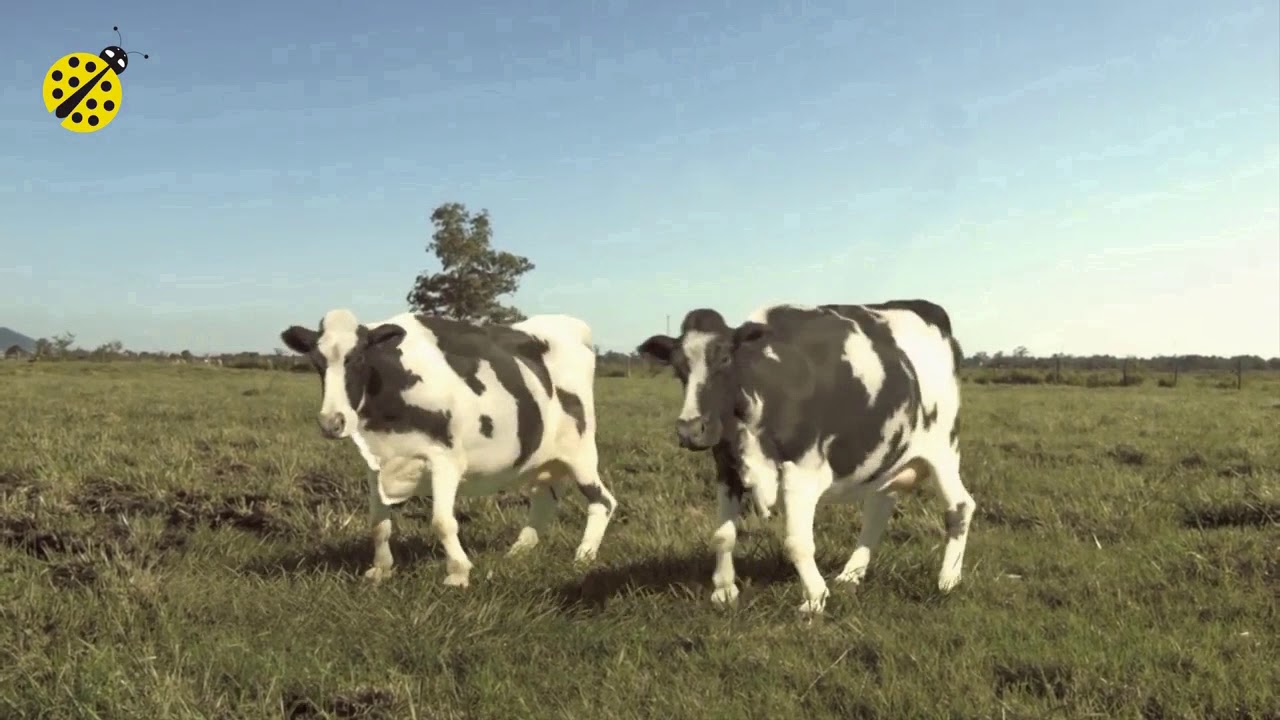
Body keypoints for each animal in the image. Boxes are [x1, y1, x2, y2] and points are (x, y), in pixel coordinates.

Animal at [280, 308, 619, 589]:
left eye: (360, 358)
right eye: (317, 362)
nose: (332, 422)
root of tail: (571, 326)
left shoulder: (445, 459)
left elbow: (442, 522)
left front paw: (458, 572)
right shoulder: (375, 464)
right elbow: (379, 524)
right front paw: (381, 569)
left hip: (581, 453)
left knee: (603, 501)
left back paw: (583, 556)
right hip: (543, 460)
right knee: (545, 500)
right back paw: (518, 552)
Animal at [636, 300, 974, 614]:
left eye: (725, 358)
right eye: (678, 367)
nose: (691, 430)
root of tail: (924, 307)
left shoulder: (804, 470)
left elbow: (797, 542)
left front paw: (814, 597)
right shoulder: (727, 467)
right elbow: (723, 535)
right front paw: (724, 590)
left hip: (943, 448)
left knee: (960, 506)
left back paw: (948, 579)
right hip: (888, 455)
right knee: (880, 506)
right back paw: (851, 574)